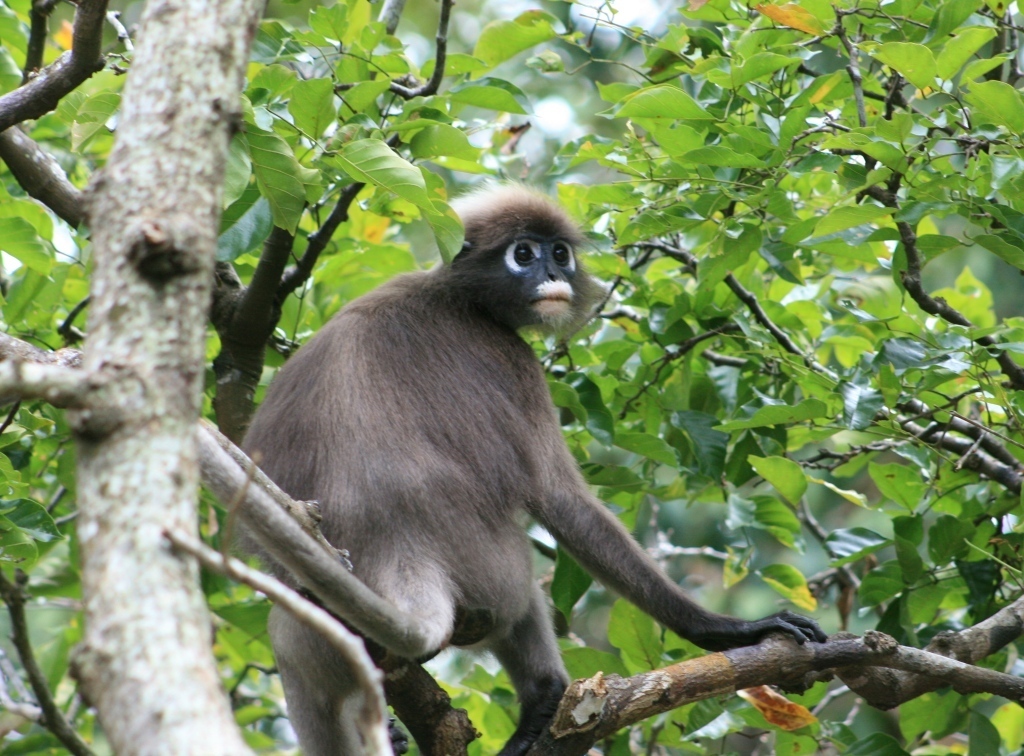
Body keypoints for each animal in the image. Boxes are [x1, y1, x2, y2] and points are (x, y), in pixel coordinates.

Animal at [241, 184, 827, 756]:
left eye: (560, 253)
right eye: (523, 254)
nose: (552, 274)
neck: (457, 296)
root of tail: (397, 545)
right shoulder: (516, 363)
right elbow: (561, 499)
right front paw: (727, 631)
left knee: (291, 645)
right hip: (491, 573)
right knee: (522, 583)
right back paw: (543, 701)